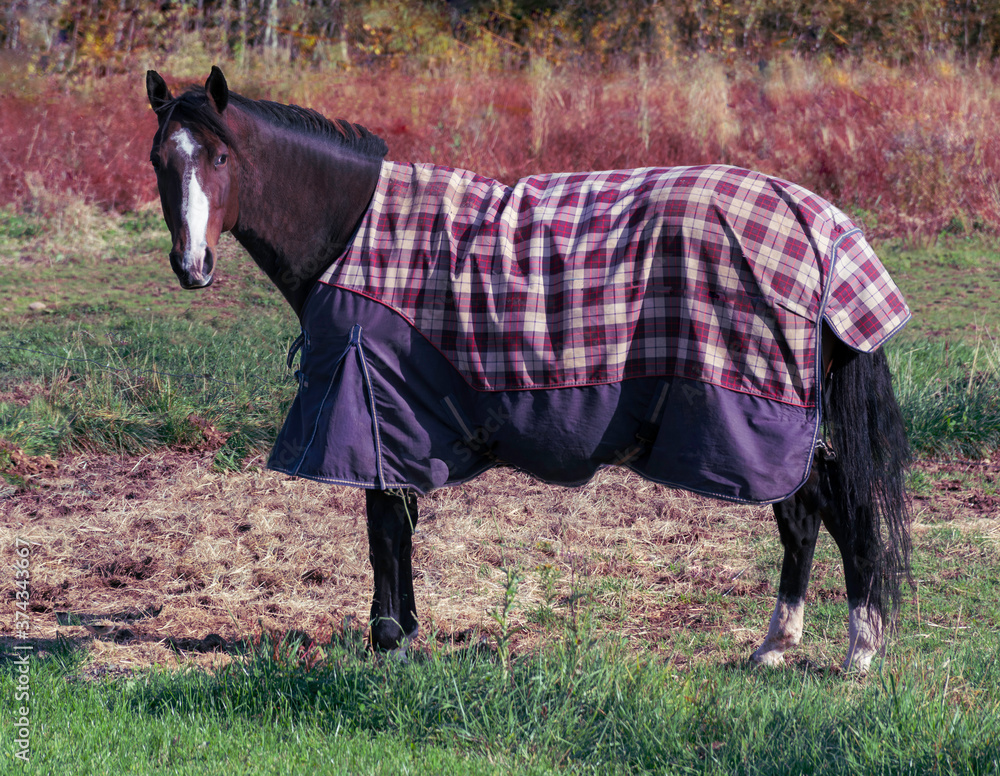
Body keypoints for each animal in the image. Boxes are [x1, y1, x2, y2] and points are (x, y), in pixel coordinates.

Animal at [146, 66, 912, 672]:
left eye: (221, 156)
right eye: (159, 160)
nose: (192, 266)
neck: (354, 233)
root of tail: (820, 225)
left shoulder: (371, 409)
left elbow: (384, 529)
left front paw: (388, 640)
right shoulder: (389, 420)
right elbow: (396, 527)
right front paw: (403, 632)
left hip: (775, 415)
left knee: (842, 514)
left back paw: (860, 652)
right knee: (803, 520)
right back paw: (777, 646)